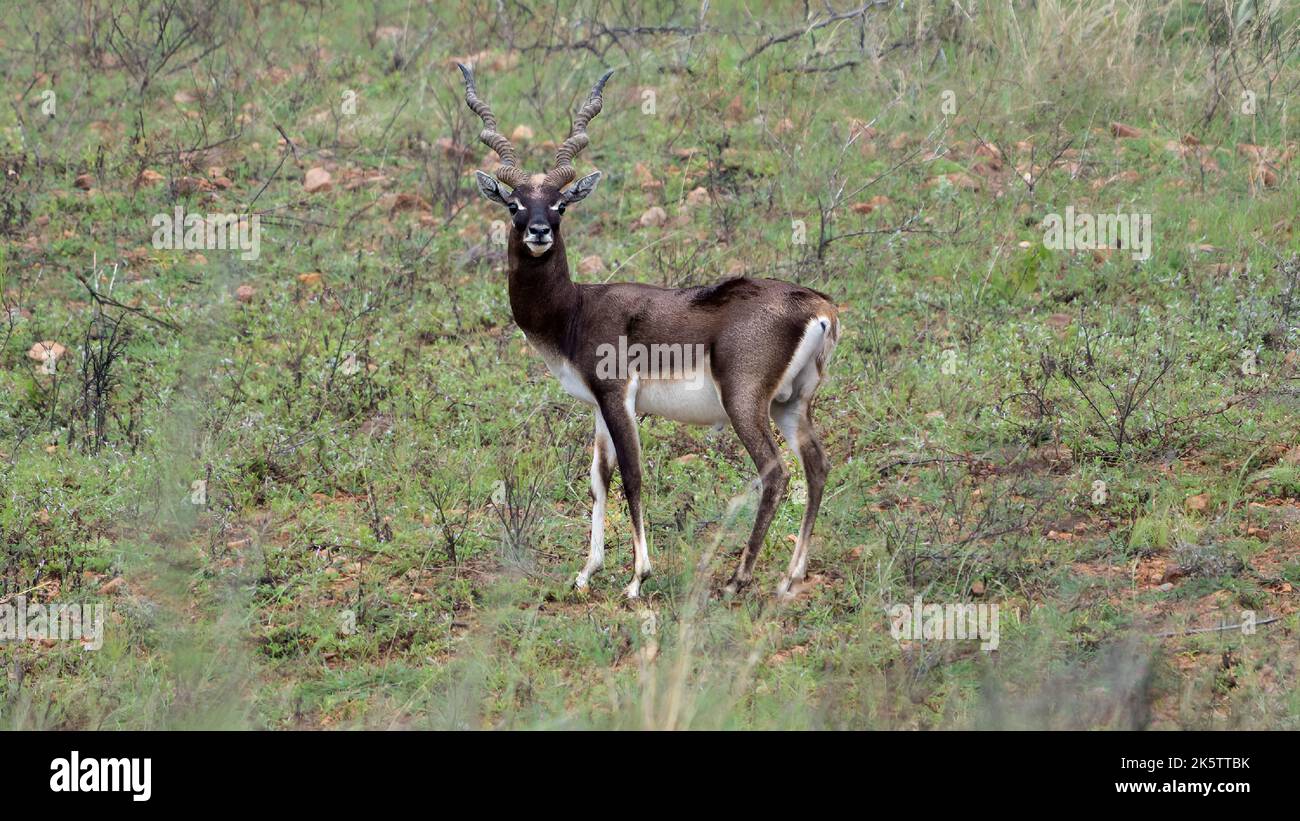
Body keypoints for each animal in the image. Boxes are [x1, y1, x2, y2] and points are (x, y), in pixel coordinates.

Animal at [457, 64, 839, 599]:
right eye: (514, 203)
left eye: (560, 204)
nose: (538, 231)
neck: (576, 309)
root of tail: (818, 307)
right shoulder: (598, 404)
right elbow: (598, 478)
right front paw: (586, 573)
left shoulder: (620, 397)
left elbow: (632, 477)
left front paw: (637, 579)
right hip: (792, 403)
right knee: (816, 466)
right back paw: (789, 578)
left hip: (745, 403)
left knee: (775, 472)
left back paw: (736, 581)